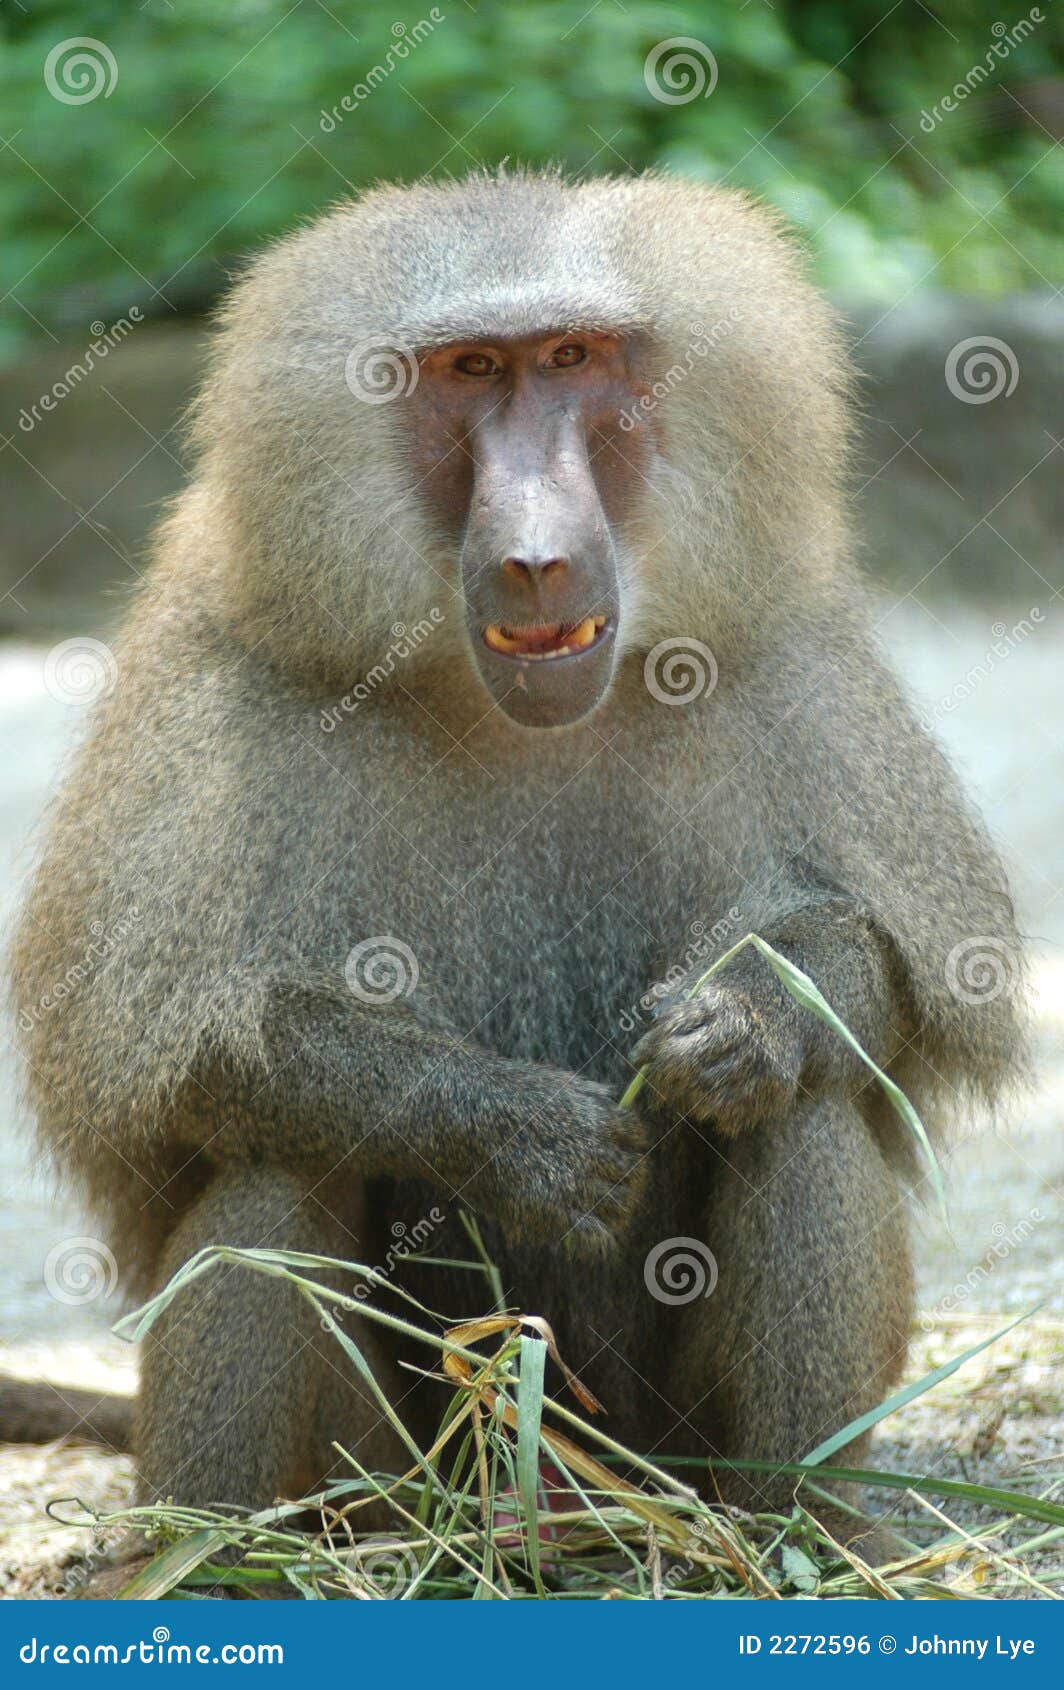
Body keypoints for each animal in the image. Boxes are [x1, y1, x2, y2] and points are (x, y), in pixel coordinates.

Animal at [9, 169, 1025, 1564]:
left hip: (661, 1450)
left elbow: (903, 990)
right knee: (276, 1161)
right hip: (398, 1471)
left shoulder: (786, 647)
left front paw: (747, 1012)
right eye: (472, 370)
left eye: (574, 360)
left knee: (802, 1114)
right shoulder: (217, 667)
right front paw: (512, 1131)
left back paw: (796, 1540)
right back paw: (229, 1563)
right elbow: (163, 1053)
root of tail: (559, 1500)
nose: (535, 554)